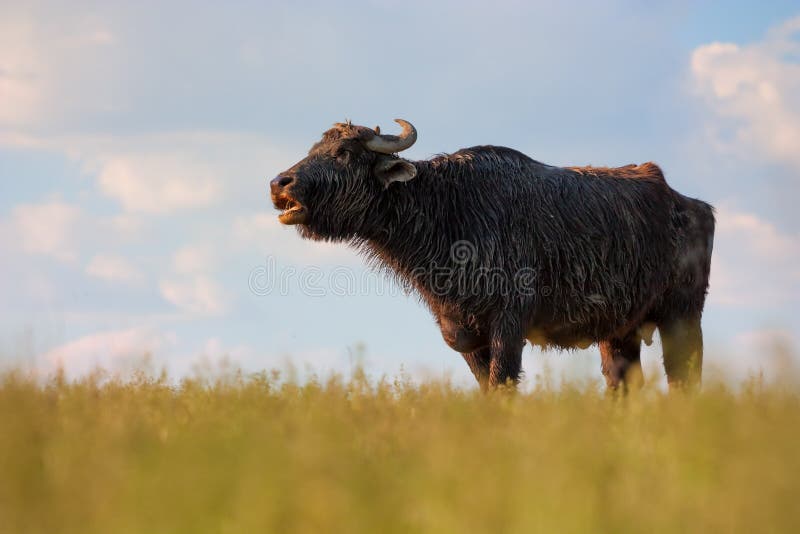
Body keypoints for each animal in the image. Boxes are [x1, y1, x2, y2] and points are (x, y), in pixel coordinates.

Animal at [270, 119, 714, 391]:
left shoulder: (509, 326)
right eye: (315, 147)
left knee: (685, 379)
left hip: (683, 316)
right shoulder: (462, 335)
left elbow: (502, 385)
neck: (448, 209)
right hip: (619, 333)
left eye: (343, 152)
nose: (279, 183)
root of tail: (692, 206)